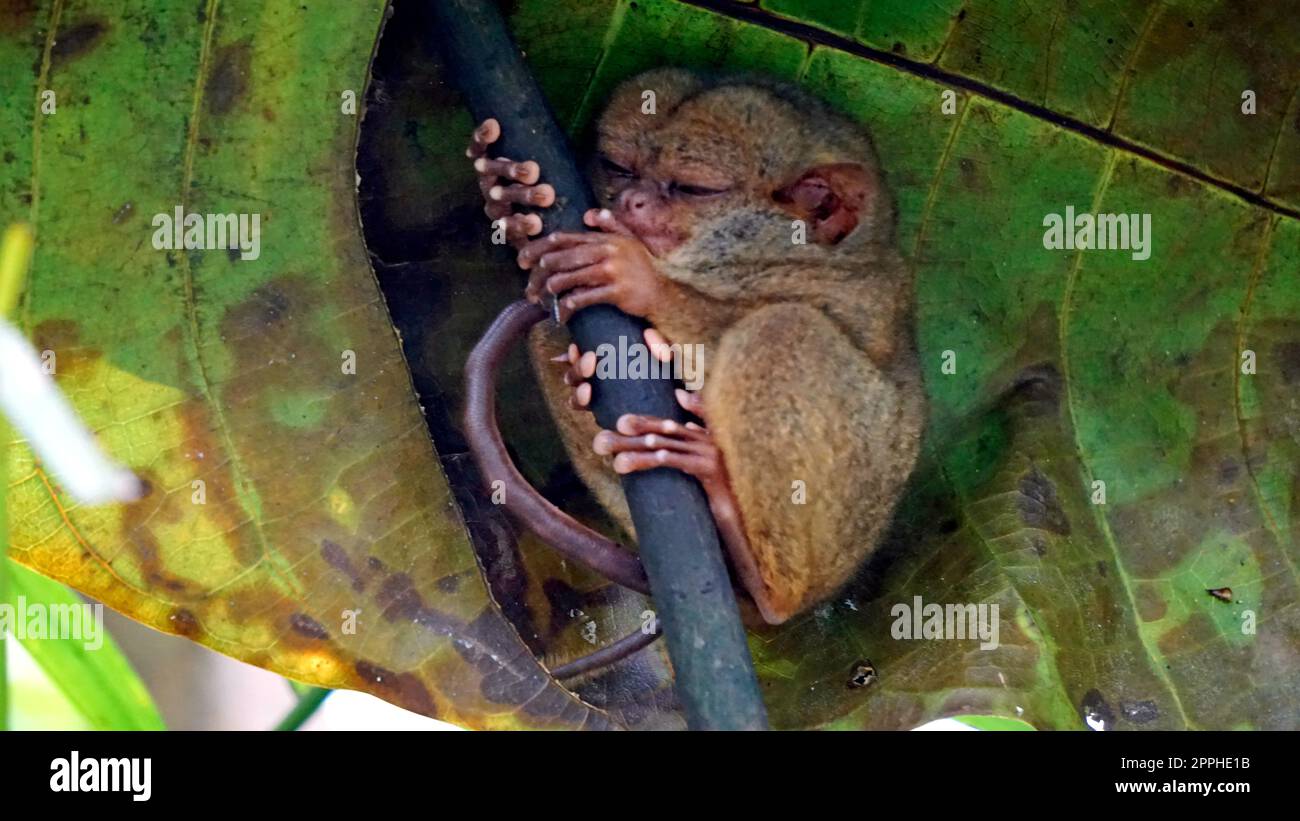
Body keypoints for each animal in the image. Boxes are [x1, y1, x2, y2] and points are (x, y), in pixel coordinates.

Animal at [465, 68, 925, 625]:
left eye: (694, 188)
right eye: (618, 167)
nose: (629, 202)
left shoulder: (853, 294)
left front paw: (639, 280)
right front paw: (507, 196)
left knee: (782, 330)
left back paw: (760, 573)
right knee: (545, 333)